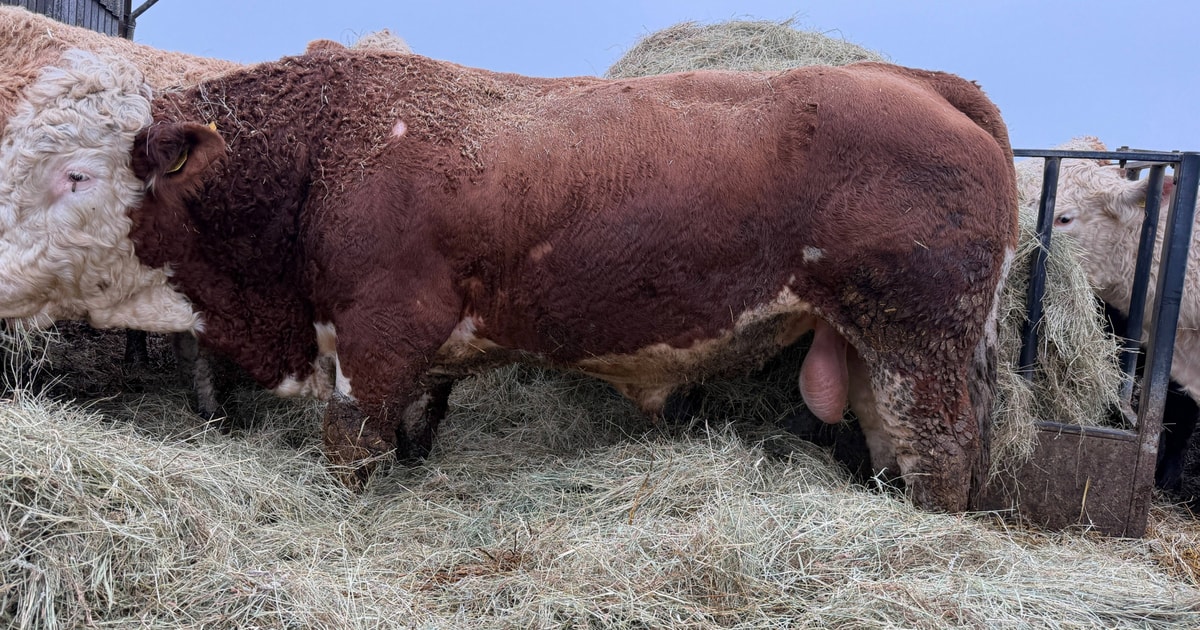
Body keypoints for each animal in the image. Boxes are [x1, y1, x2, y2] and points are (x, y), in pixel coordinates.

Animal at [0, 49, 1018, 512]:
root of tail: (917, 80)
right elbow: (417, 423)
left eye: (74, 174)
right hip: (873, 349)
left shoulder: (377, 333)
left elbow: (350, 450)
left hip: (919, 341)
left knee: (942, 455)